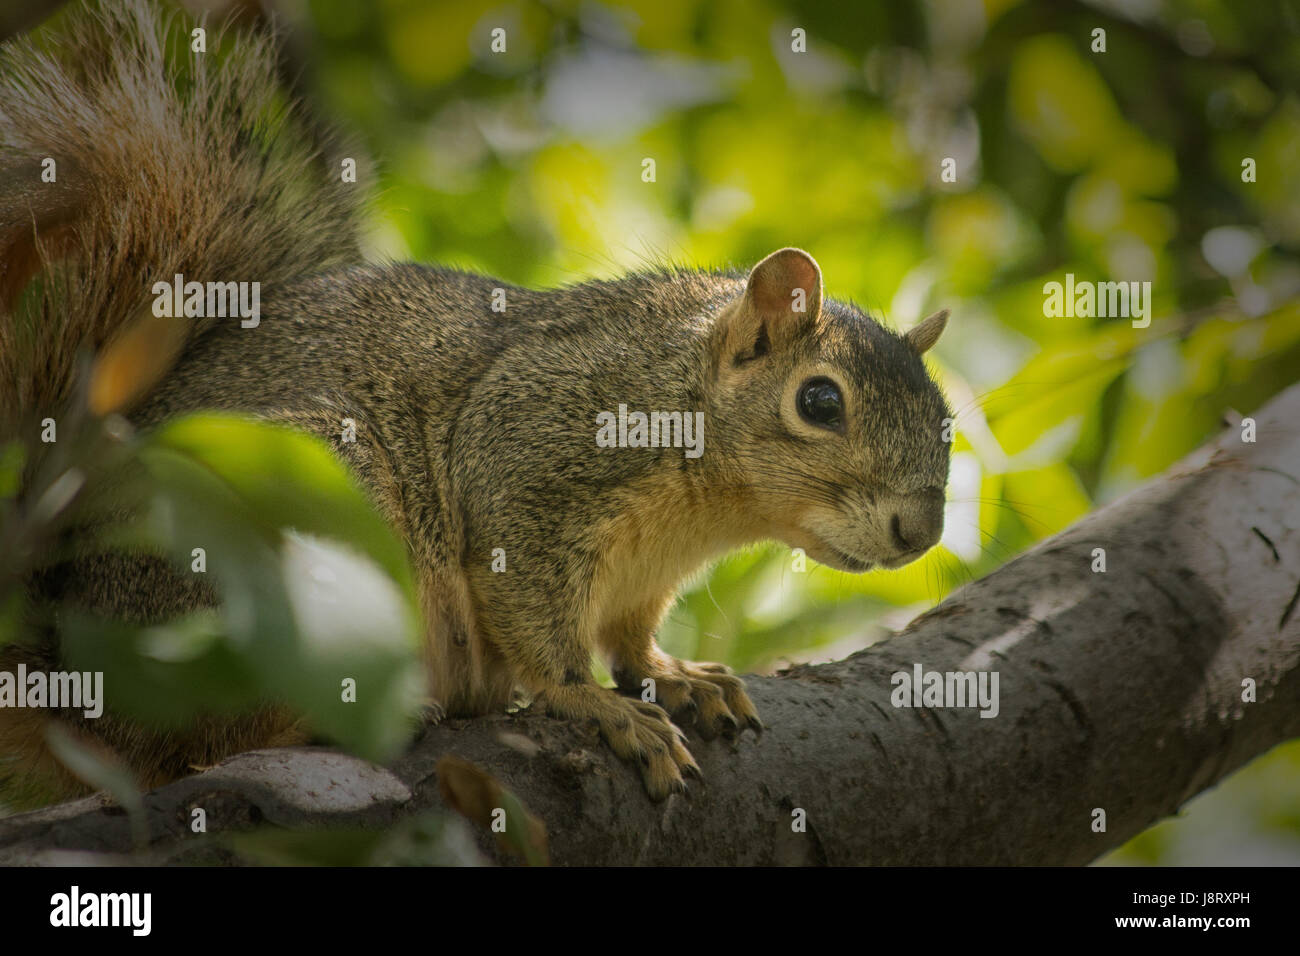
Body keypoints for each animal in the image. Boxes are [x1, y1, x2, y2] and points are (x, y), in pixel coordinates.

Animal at [0, 0, 952, 808]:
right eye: (819, 400)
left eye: (946, 419)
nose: (920, 532)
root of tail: (84, 696)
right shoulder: (529, 461)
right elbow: (535, 618)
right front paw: (600, 707)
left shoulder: (644, 577)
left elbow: (631, 636)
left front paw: (678, 674)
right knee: (194, 746)